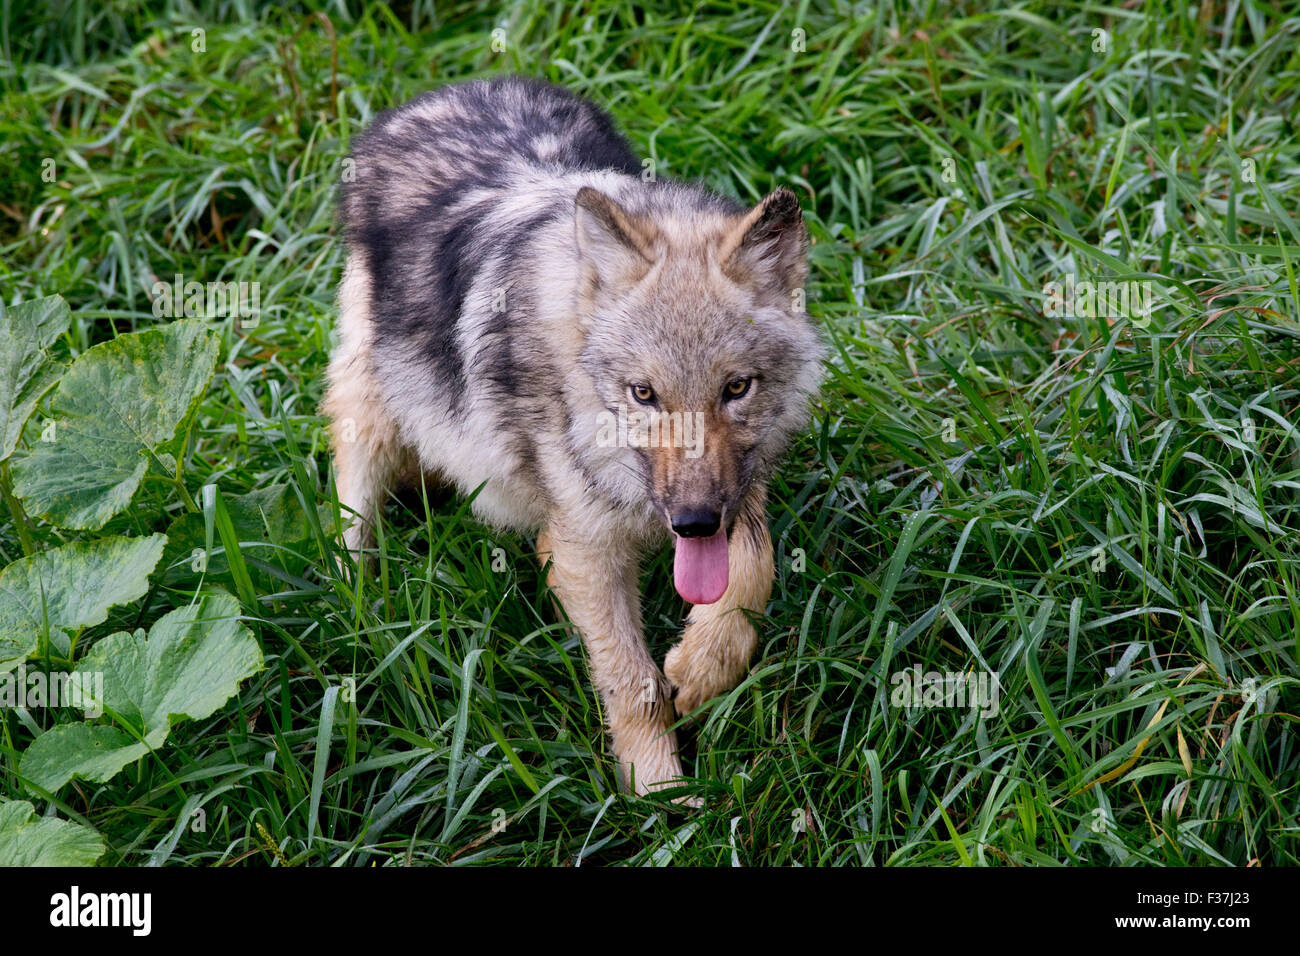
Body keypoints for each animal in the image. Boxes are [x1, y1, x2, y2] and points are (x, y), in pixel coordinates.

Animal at [324, 76, 824, 799]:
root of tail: (439, 94)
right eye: (644, 394)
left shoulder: (737, 494)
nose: (694, 523)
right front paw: (662, 795)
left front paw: (701, 671)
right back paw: (357, 606)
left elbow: (753, 572)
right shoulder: (586, 548)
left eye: (737, 388)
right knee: (351, 513)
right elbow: (631, 681)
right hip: (373, 413)